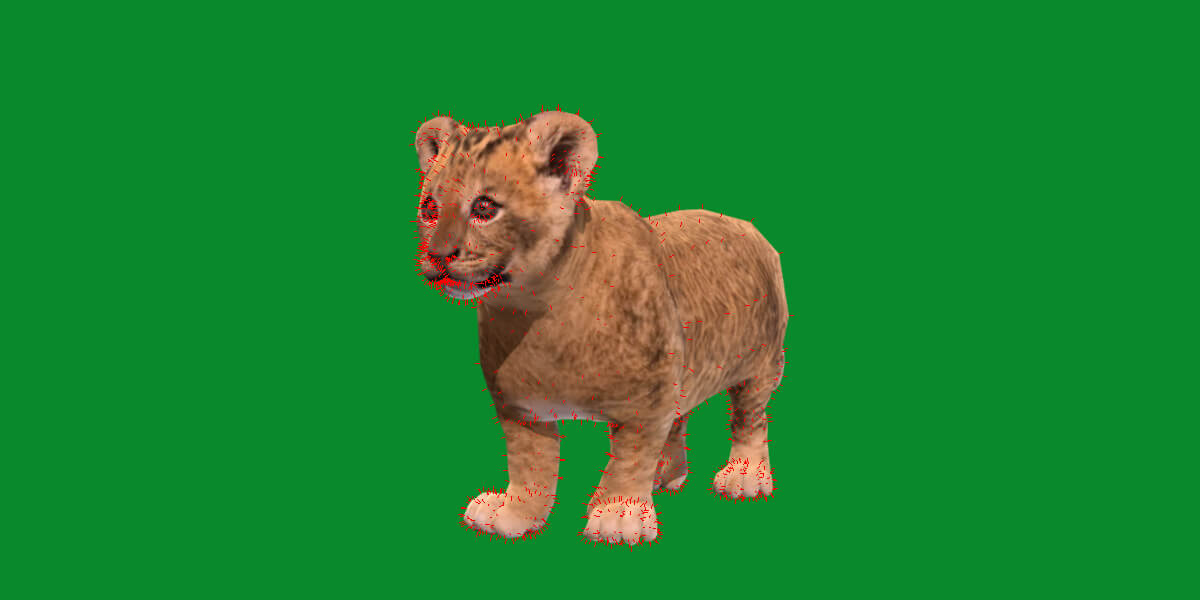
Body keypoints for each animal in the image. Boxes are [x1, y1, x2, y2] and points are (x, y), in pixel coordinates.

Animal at [413, 110, 788, 545]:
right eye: (429, 208)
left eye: (485, 207)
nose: (438, 255)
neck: (533, 309)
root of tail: (747, 225)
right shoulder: (520, 406)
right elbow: (529, 464)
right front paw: (515, 513)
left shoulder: (647, 398)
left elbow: (631, 456)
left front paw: (618, 514)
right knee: (678, 421)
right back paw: (665, 475)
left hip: (760, 363)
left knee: (751, 417)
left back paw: (744, 475)